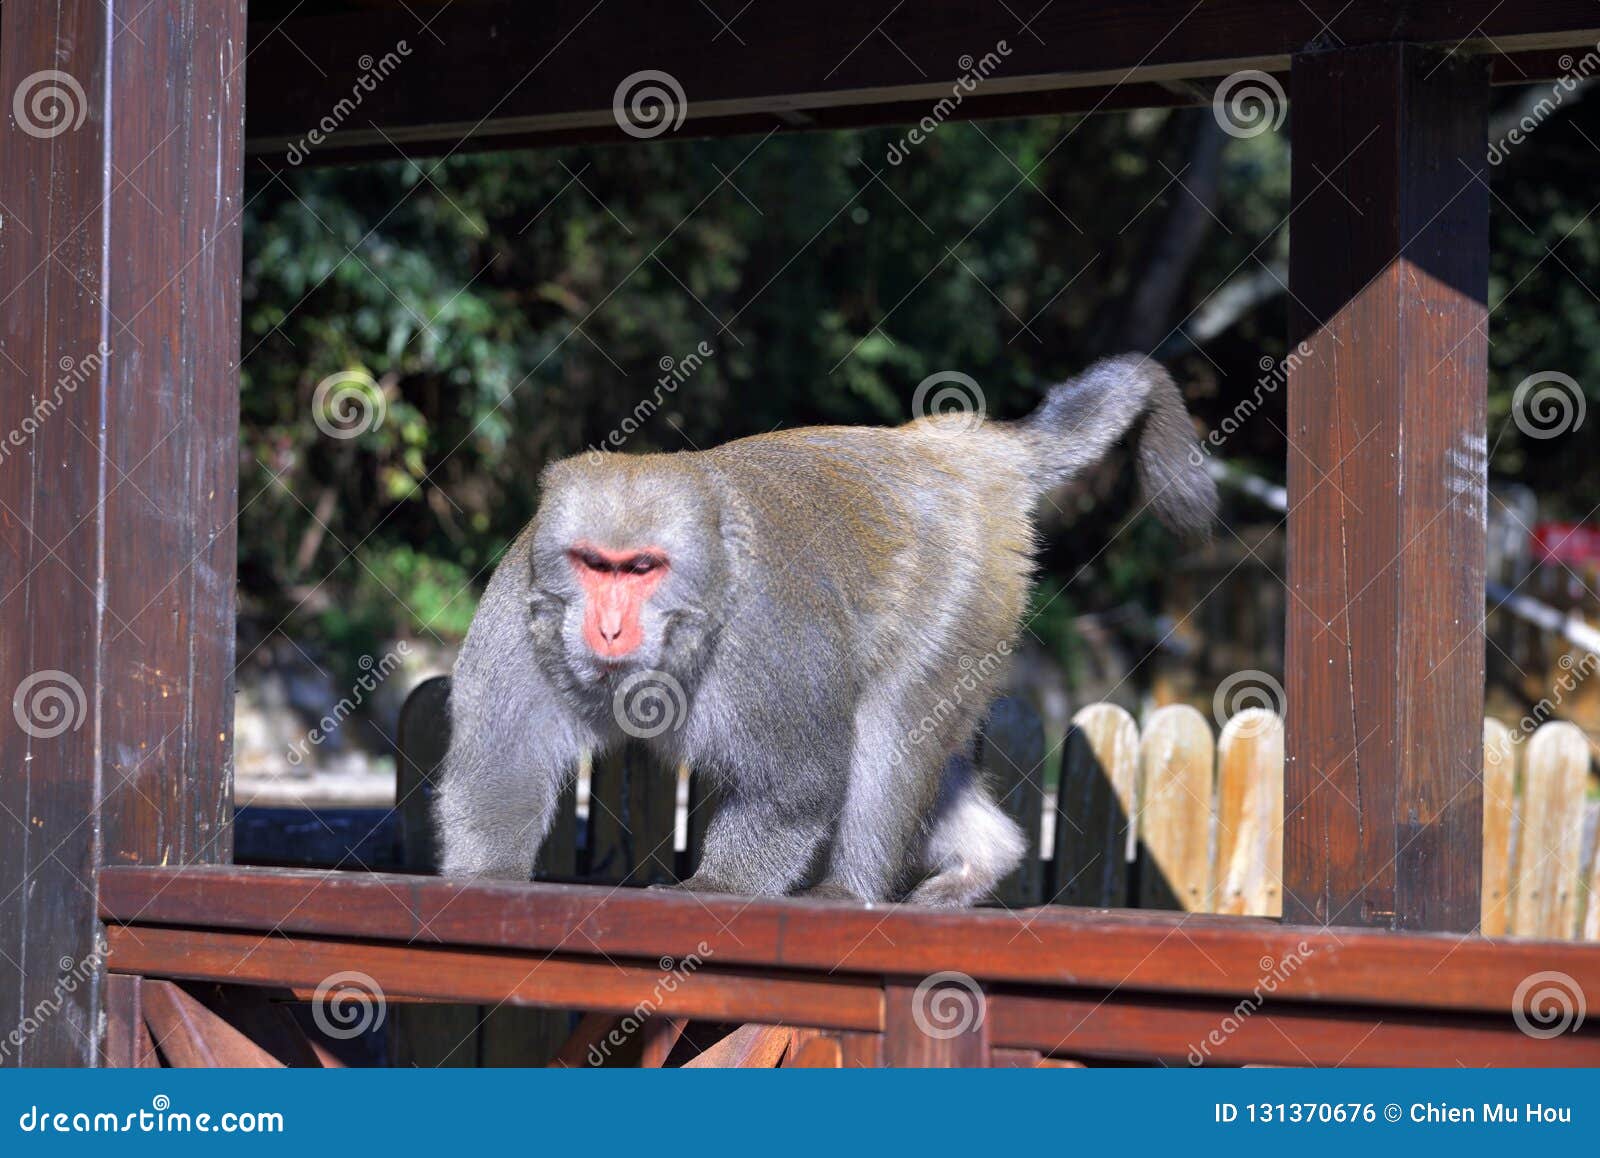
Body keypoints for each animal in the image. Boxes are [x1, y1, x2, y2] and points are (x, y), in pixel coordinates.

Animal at [433, 355, 1216, 906]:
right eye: (593, 564)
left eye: (641, 568)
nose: (609, 626)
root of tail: (957, 449)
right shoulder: (519, 610)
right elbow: (498, 766)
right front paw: (487, 879)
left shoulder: (767, 637)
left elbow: (798, 783)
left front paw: (716, 887)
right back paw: (983, 860)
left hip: (964, 584)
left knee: (894, 719)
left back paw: (851, 890)